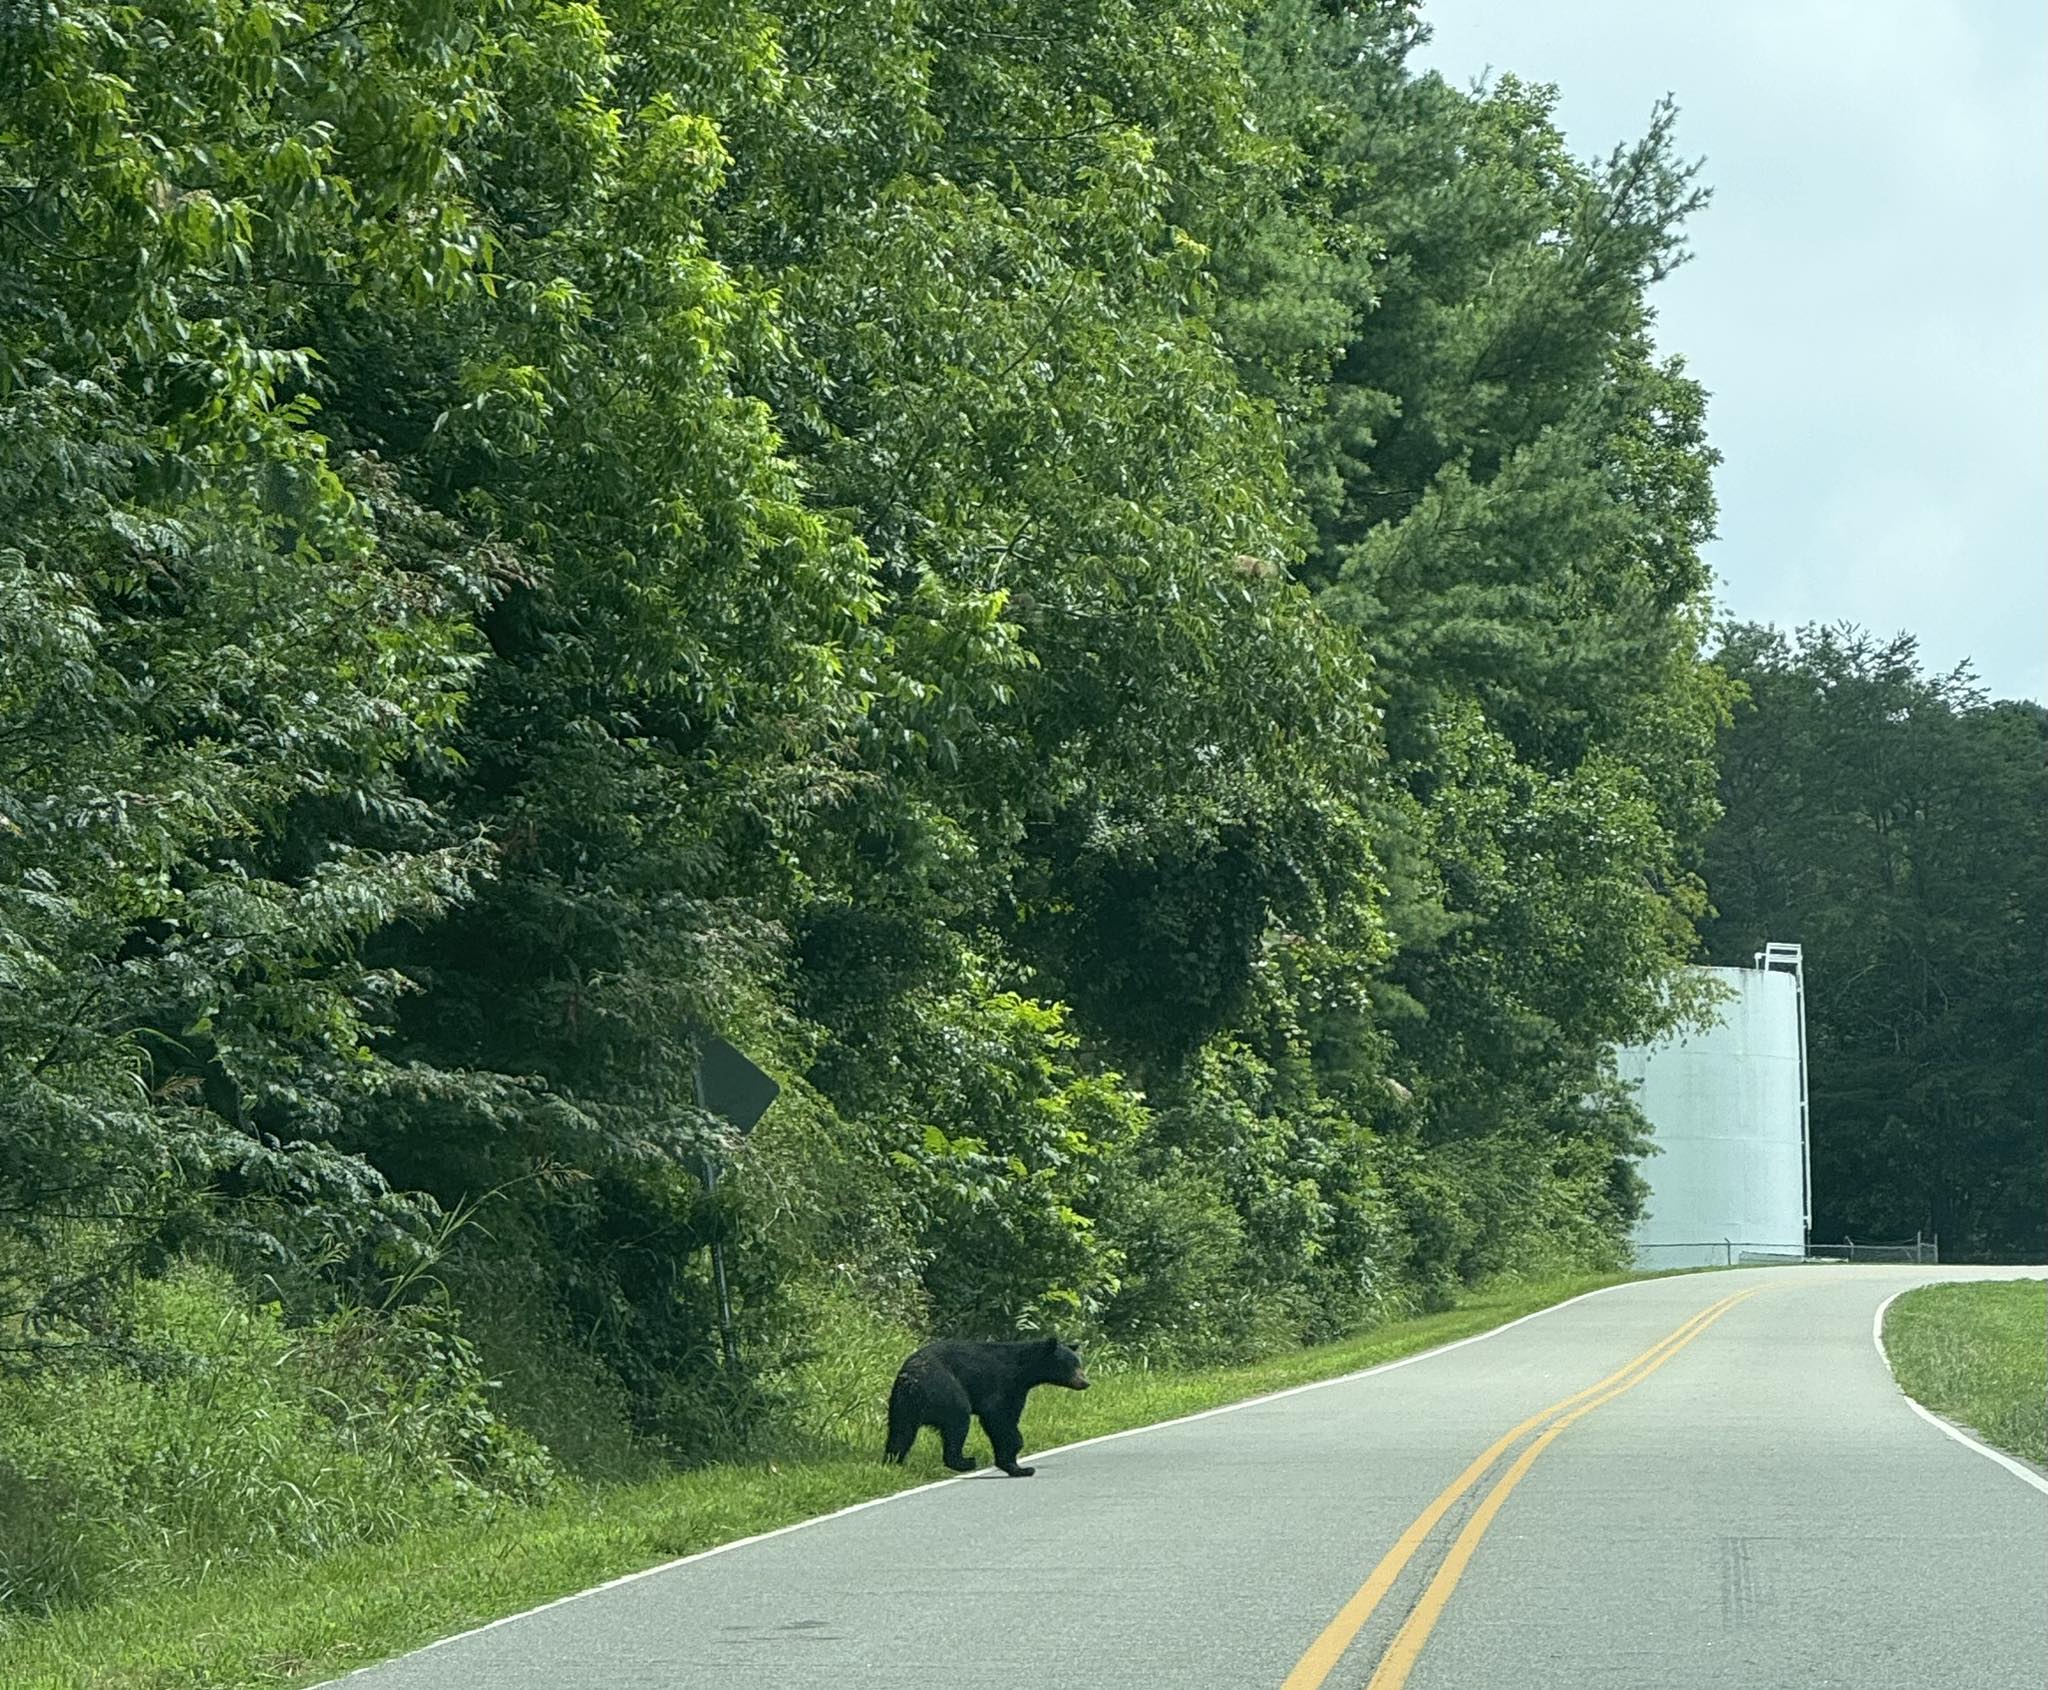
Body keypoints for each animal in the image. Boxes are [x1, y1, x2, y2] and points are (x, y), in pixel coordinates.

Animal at [881, 1334, 1090, 1478]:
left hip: (902, 1406)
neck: (1023, 1372)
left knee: (901, 1434)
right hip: (946, 1392)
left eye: (1079, 1363)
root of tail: (911, 1379)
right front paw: (1021, 1465)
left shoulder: (1017, 1391)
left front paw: (1017, 1467)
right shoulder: (1002, 1385)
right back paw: (964, 1461)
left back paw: (893, 1463)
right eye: (1071, 1365)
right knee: (958, 1423)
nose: (1085, 1382)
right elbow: (999, 1419)